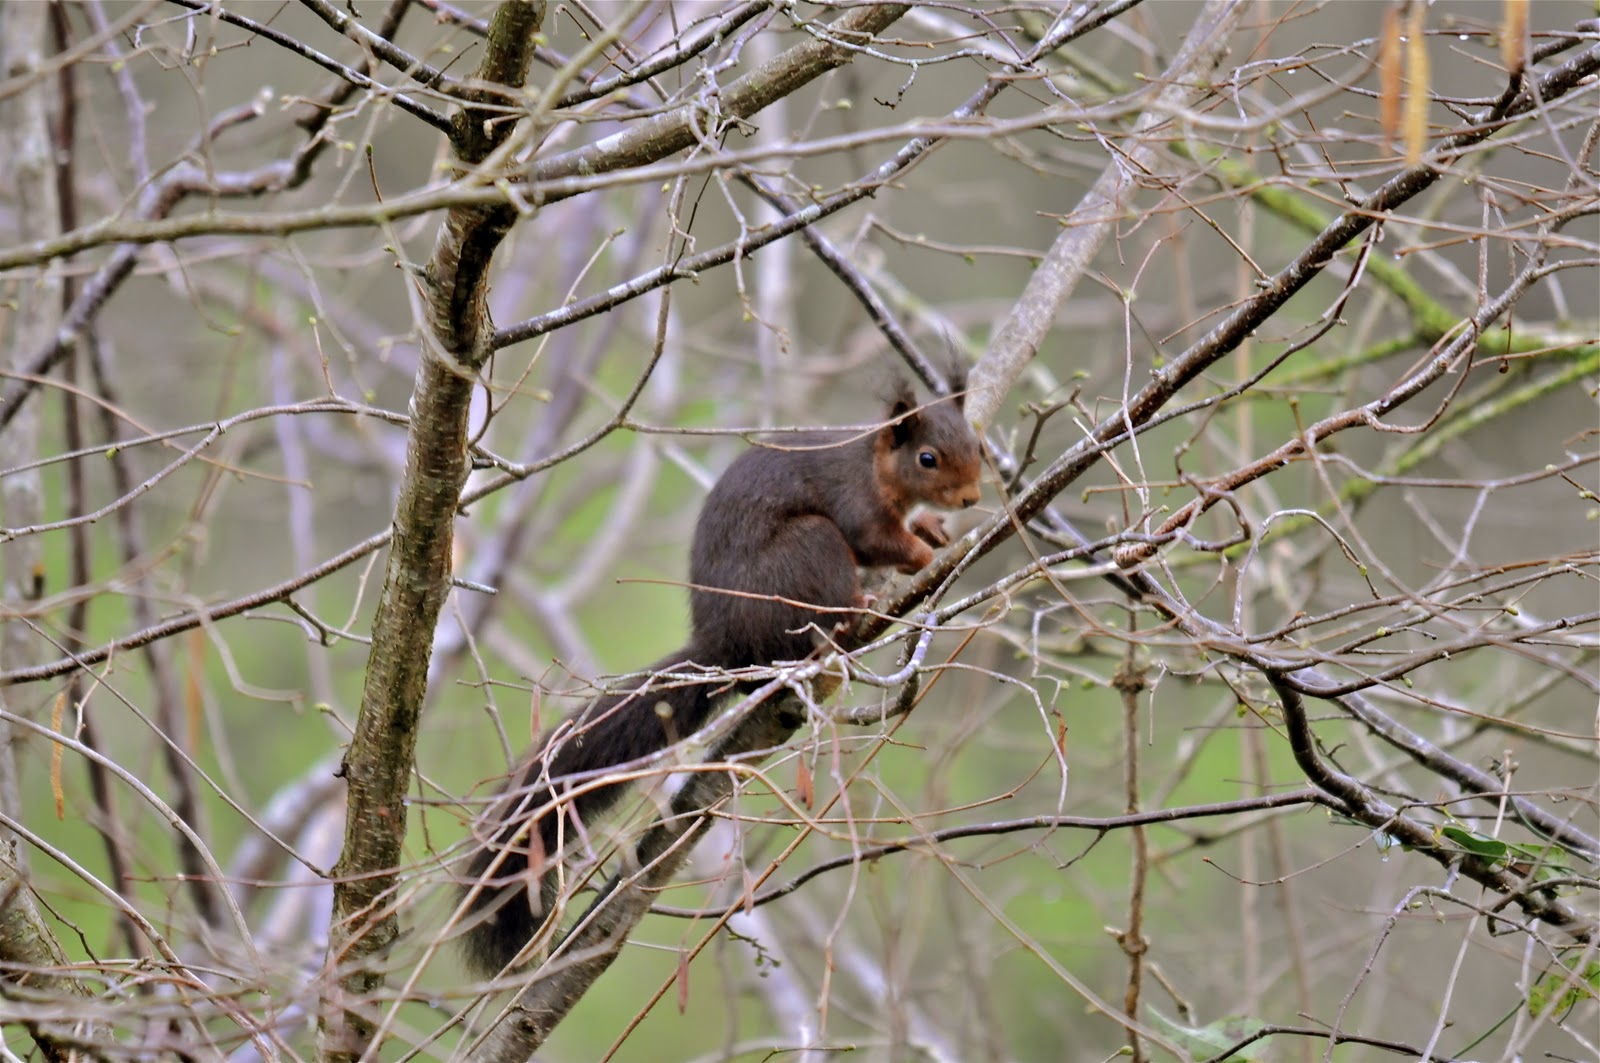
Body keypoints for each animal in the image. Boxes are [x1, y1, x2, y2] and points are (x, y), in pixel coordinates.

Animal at [457, 381, 983, 975]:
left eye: (978, 447)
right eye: (927, 459)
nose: (971, 499)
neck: (876, 464)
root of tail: (727, 648)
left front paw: (932, 529)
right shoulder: (856, 500)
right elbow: (874, 538)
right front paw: (918, 549)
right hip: (808, 552)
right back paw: (853, 610)